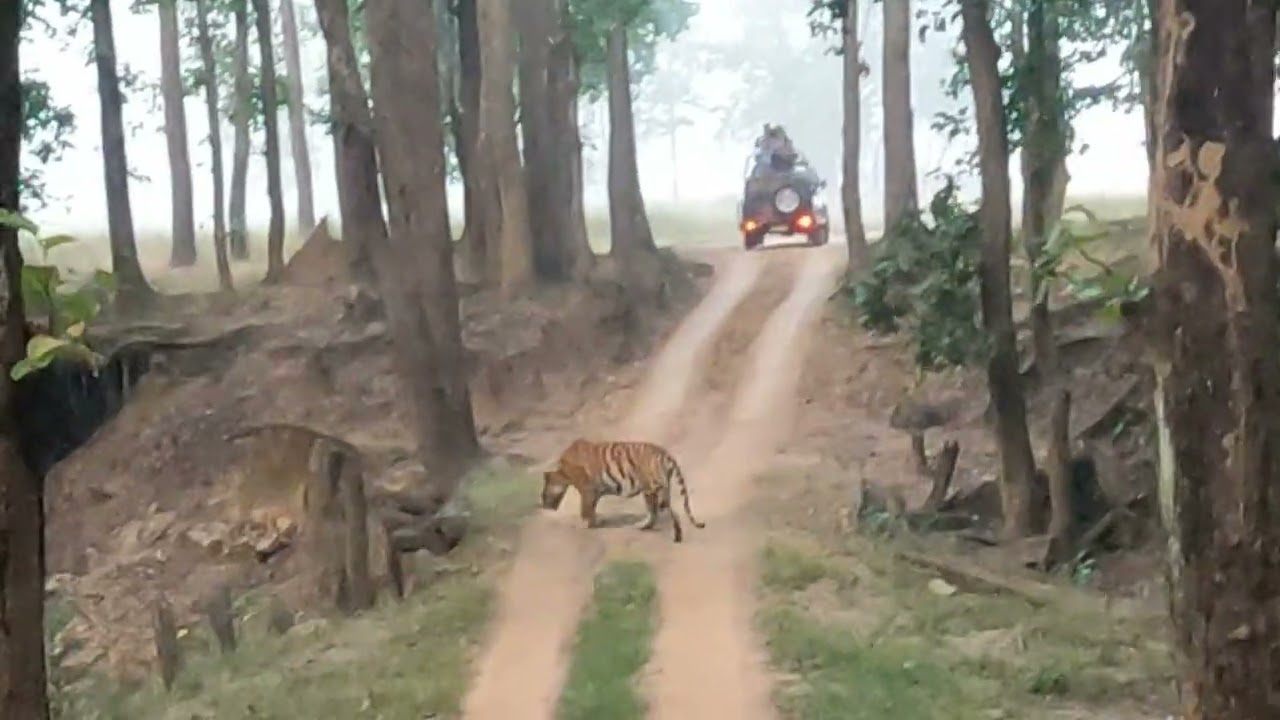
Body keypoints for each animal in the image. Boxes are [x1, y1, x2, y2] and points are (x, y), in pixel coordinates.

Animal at [541, 438, 706, 543]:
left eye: (543, 494)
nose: (543, 503)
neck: (563, 474)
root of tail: (664, 453)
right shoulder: (595, 491)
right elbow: (592, 508)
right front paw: (596, 521)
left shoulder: (587, 489)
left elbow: (585, 509)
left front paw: (586, 524)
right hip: (660, 488)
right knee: (660, 511)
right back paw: (649, 528)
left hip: (652, 488)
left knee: (662, 512)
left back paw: (671, 535)